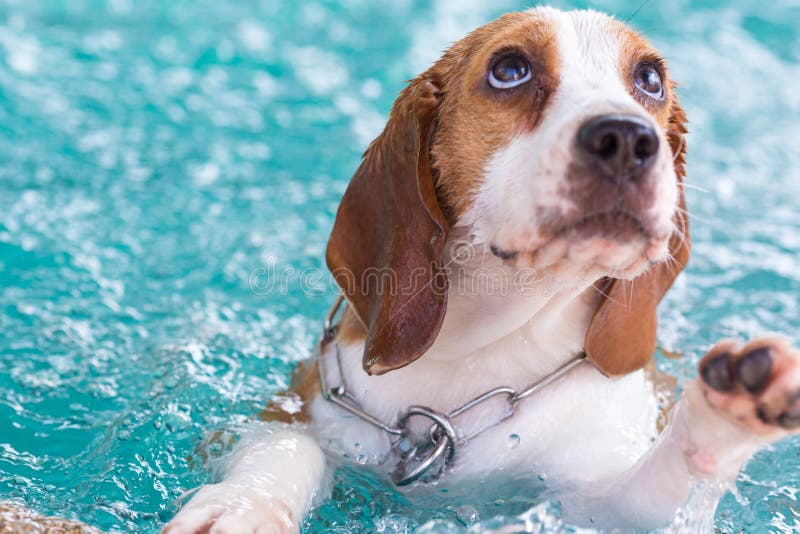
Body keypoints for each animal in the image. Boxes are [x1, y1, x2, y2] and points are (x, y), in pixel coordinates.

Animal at [164, 8, 800, 534]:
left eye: (650, 79)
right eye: (510, 69)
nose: (627, 138)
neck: (473, 351)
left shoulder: (598, 498)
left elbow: (660, 487)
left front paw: (729, 413)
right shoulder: (289, 406)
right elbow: (291, 448)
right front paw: (244, 506)